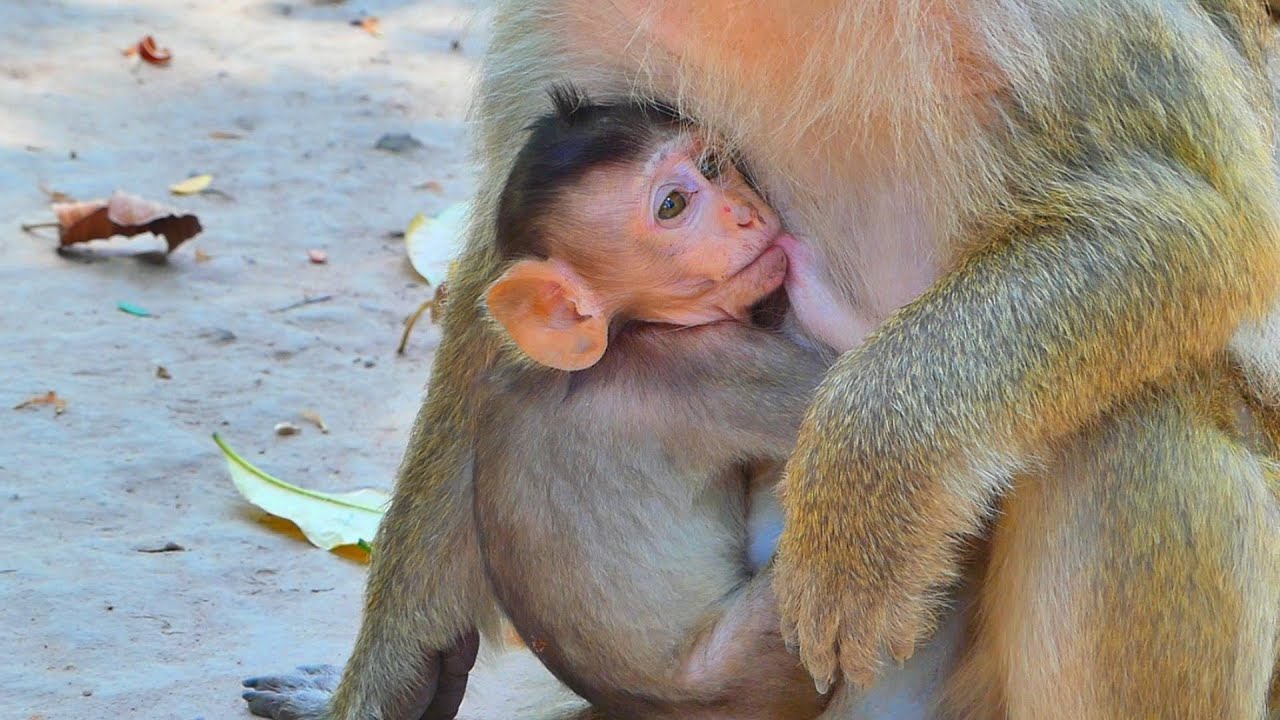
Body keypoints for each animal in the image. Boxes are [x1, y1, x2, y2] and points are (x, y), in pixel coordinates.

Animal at [242, 1, 1280, 718]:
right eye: (674, 202)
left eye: (712, 172)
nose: (747, 221)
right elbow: (498, 303)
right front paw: (387, 680)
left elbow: (1192, 222)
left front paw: (872, 475)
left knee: (1130, 422)